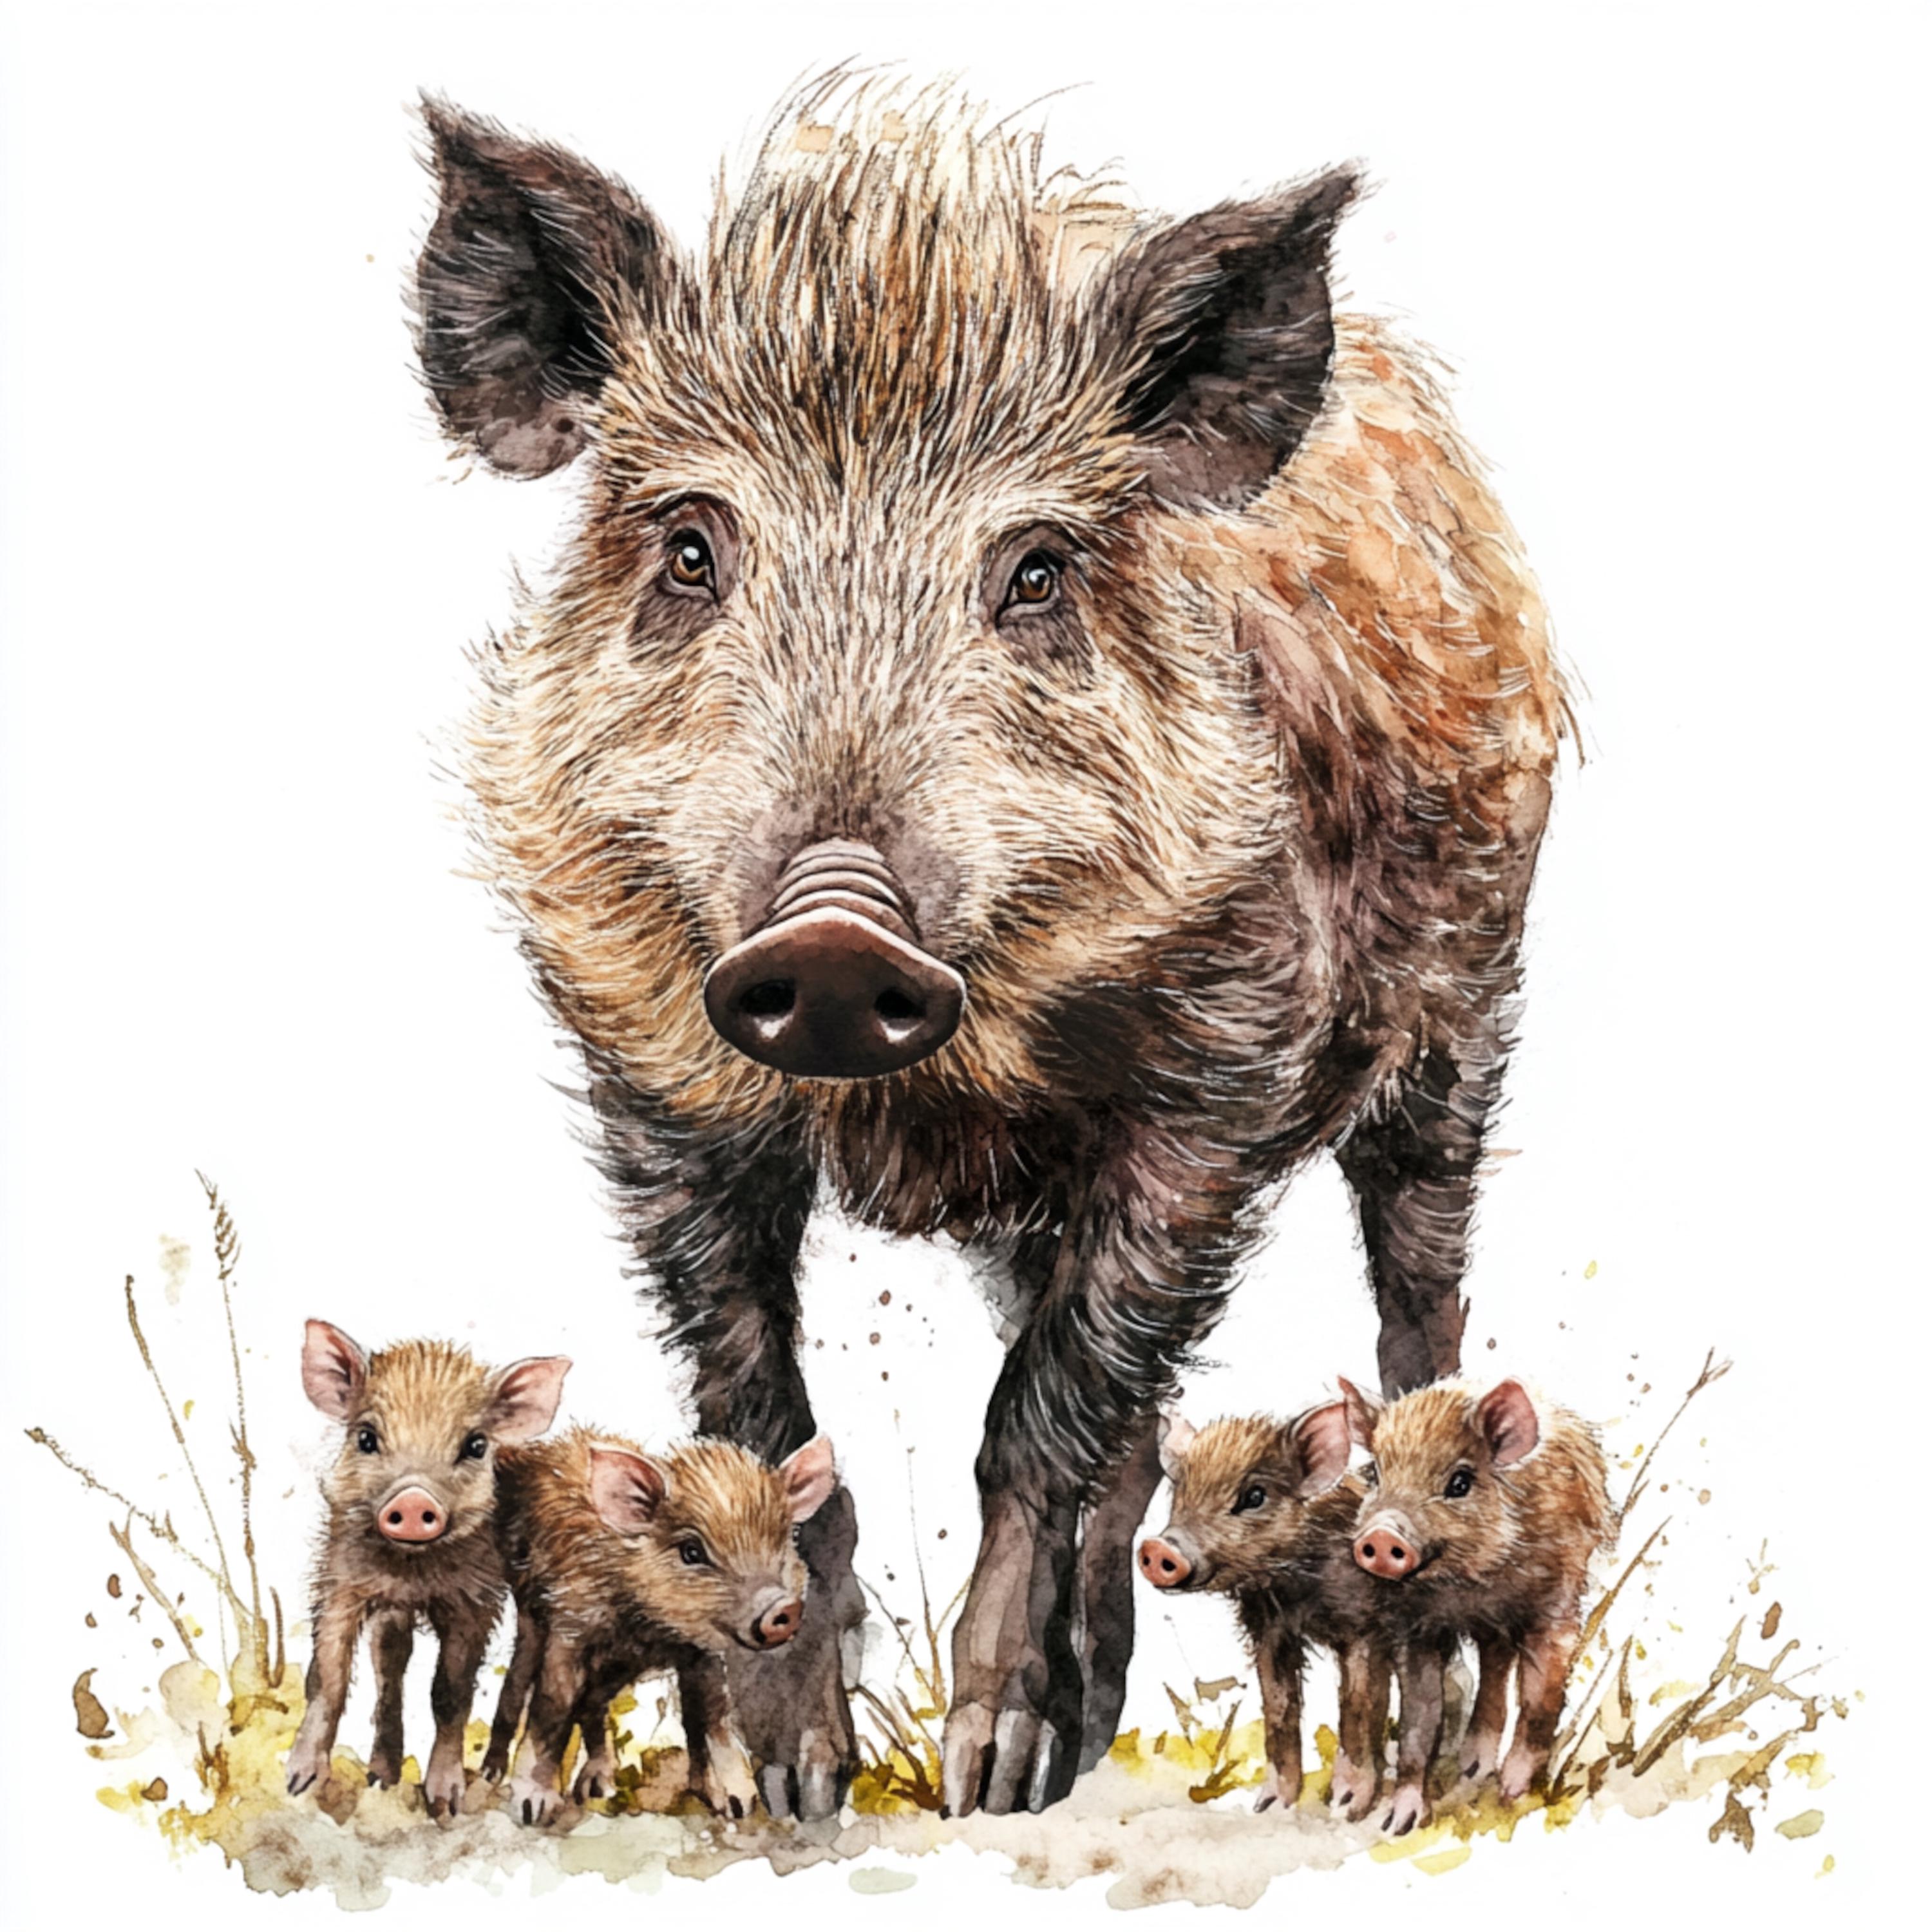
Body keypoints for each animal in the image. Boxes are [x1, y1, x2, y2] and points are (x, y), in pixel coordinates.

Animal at [285, 1321, 570, 1814]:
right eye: (366, 1437)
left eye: (476, 1445)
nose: (415, 1500)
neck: (410, 1573)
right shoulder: (340, 1583)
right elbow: (328, 1678)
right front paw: (298, 1782)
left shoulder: (474, 1601)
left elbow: (450, 1693)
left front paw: (446, 1801)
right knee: (390, 1665)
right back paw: (381, 1778)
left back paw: (490, 1775)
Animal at [482, 1429, 838, 1825]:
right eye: (692, 1551)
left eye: (784, 1538)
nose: (782, 1607)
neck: (649, 1628)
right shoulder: (570, 1629)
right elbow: (551, 1711)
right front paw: (533, 1809)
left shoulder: (699, 1655)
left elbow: (709, 1719)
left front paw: (735, 1804)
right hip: (530, 1618)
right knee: (517, 1687)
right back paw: (491, 1775)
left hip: (615, 1669)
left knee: (593, 1703)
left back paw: (599, 1788)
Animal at [1138, 1404, 1391, 1818]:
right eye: (1180, 1492)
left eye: (1255, 1495)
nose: (1160, 1549)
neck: (1293, 1592)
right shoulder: (1270, 1633)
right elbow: (1278, 1709)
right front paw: (1268, 1807)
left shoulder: (1363, 1626)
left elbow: (1358, 1707)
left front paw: (1346, 1807)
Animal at [1341, 1376, 1614, 1833]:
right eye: (1375, 1473)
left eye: (1460, 1483)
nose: (1381, 1535)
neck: (1471, 1587)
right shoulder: (1415, 1629)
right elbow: (1419, 1718)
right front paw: (1398, 1824)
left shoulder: (1555, 1608)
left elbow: (1540, 1698)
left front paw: (1513, 1791)